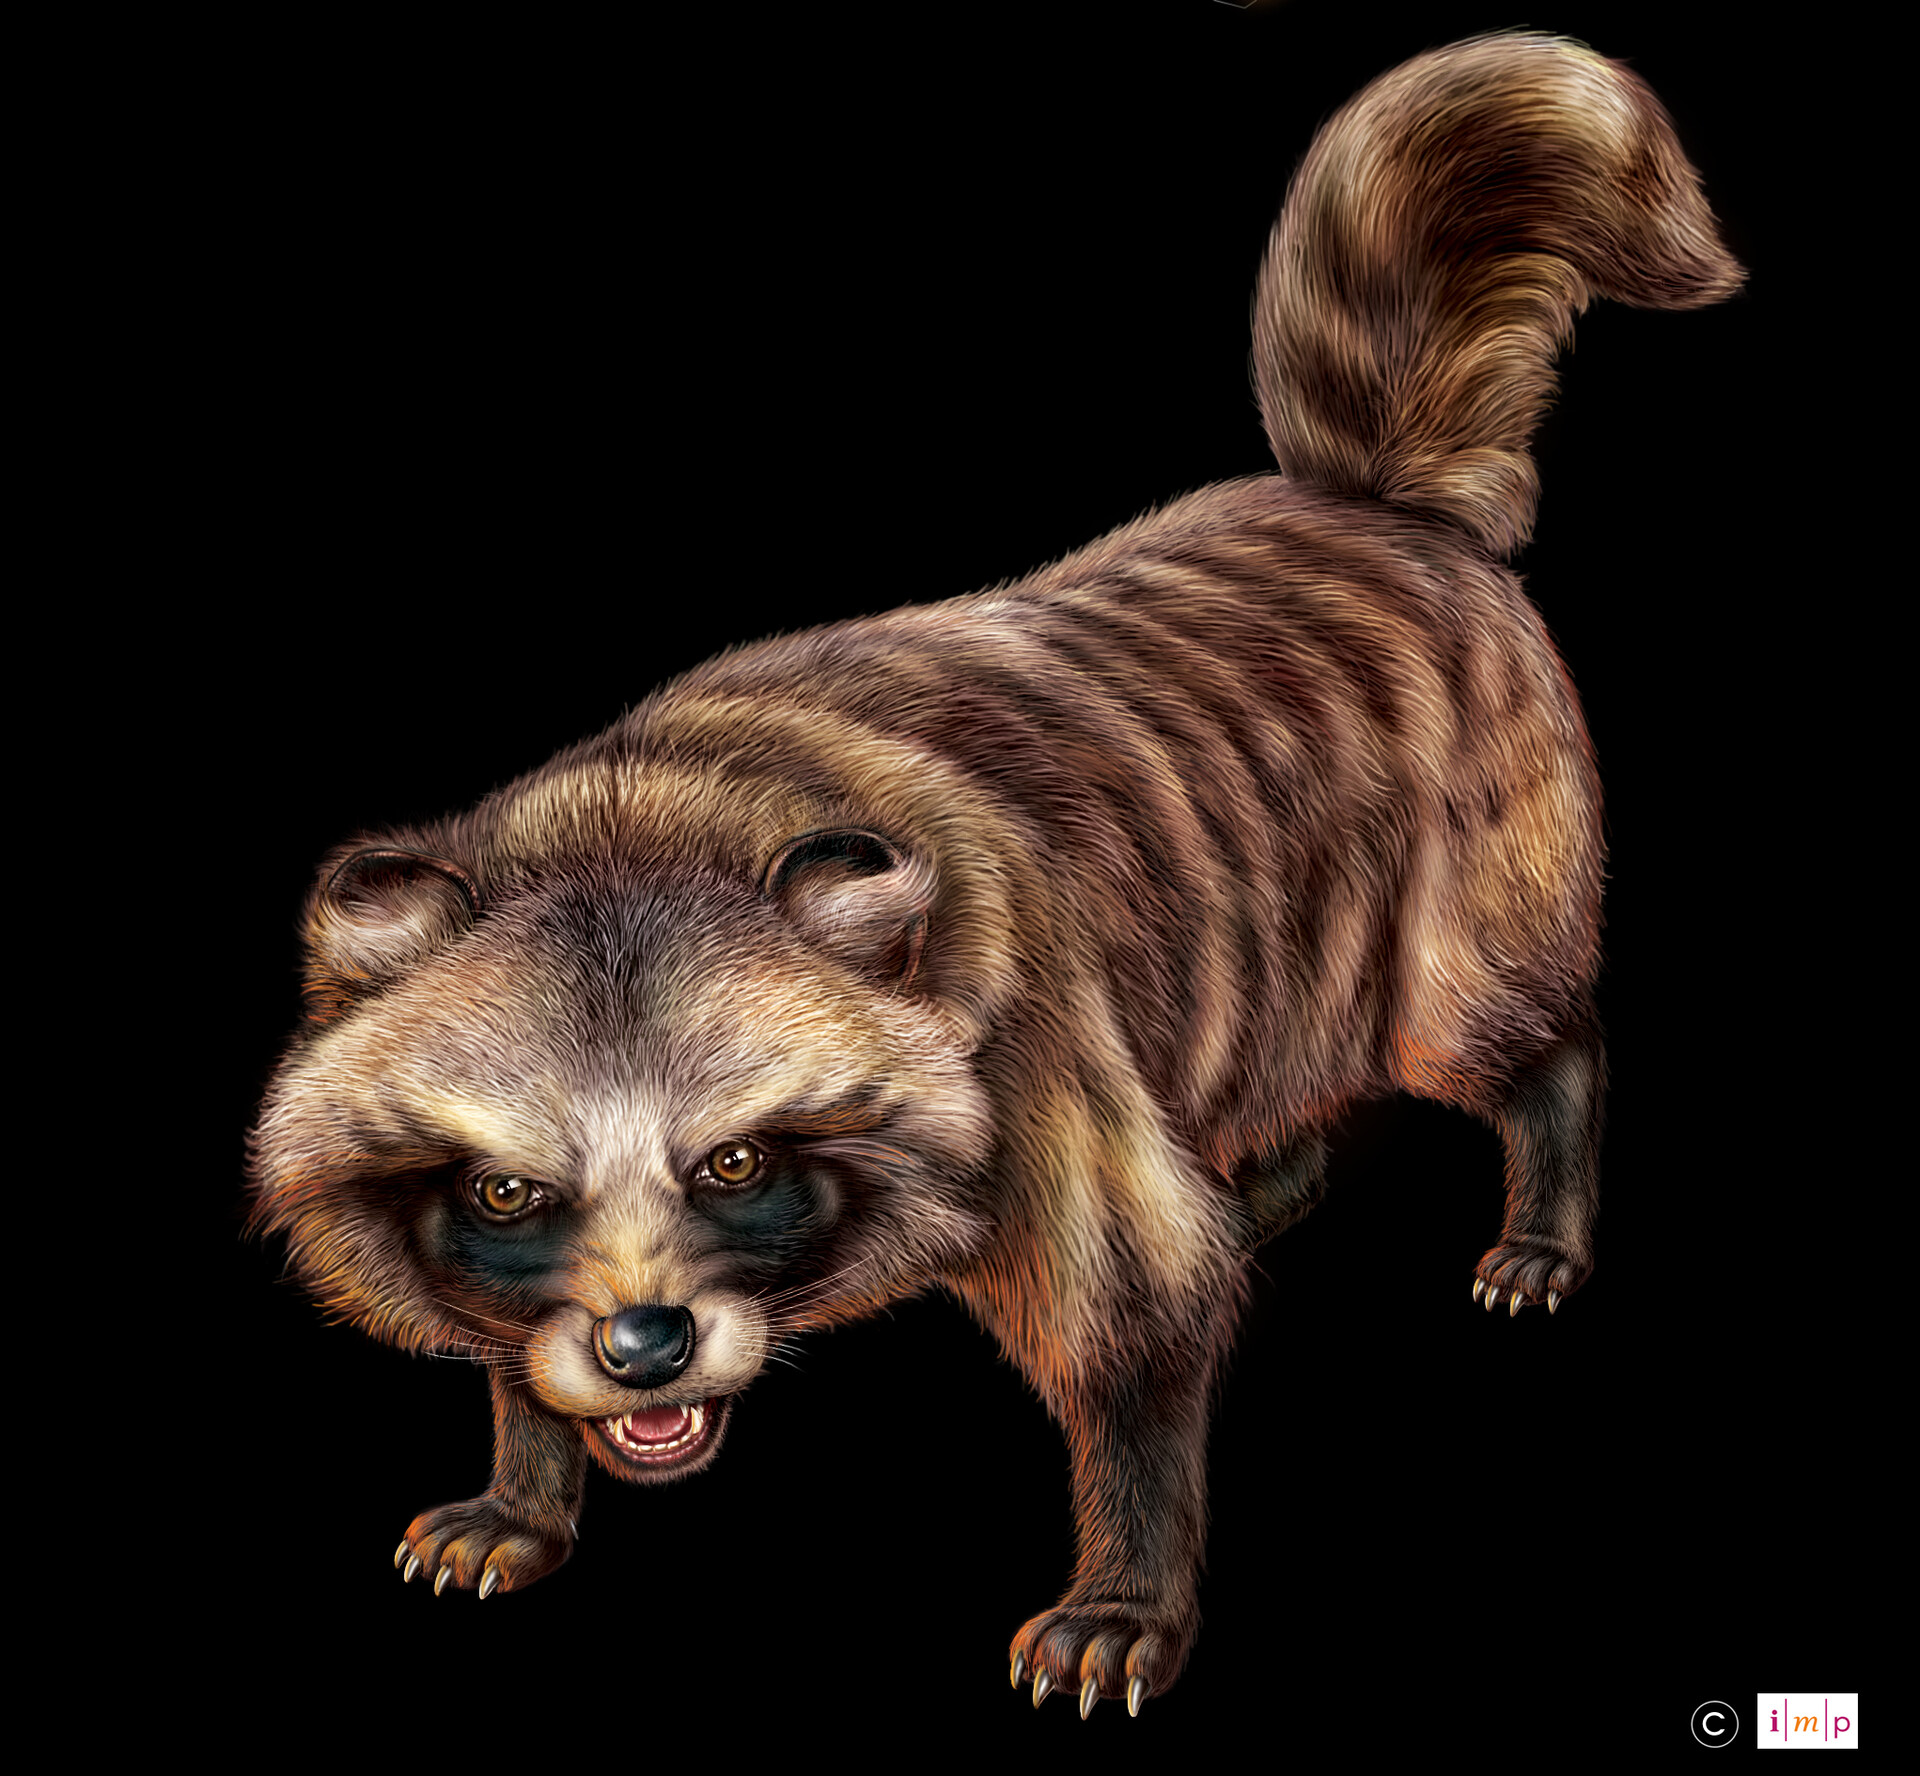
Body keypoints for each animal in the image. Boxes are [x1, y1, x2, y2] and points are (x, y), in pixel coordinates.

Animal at [249, 32, 1741, 1717]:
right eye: (509, 1189)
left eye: (736, 1164)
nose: (644, 1349)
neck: (655, 815)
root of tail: (1375, 504)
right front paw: (528, 1467)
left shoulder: (1022, 1040)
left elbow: (1140, 1297)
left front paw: (1128, 1581)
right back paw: (1275, 1169)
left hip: (1466, 852)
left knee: (1485, 1025)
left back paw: (1545, 1170)